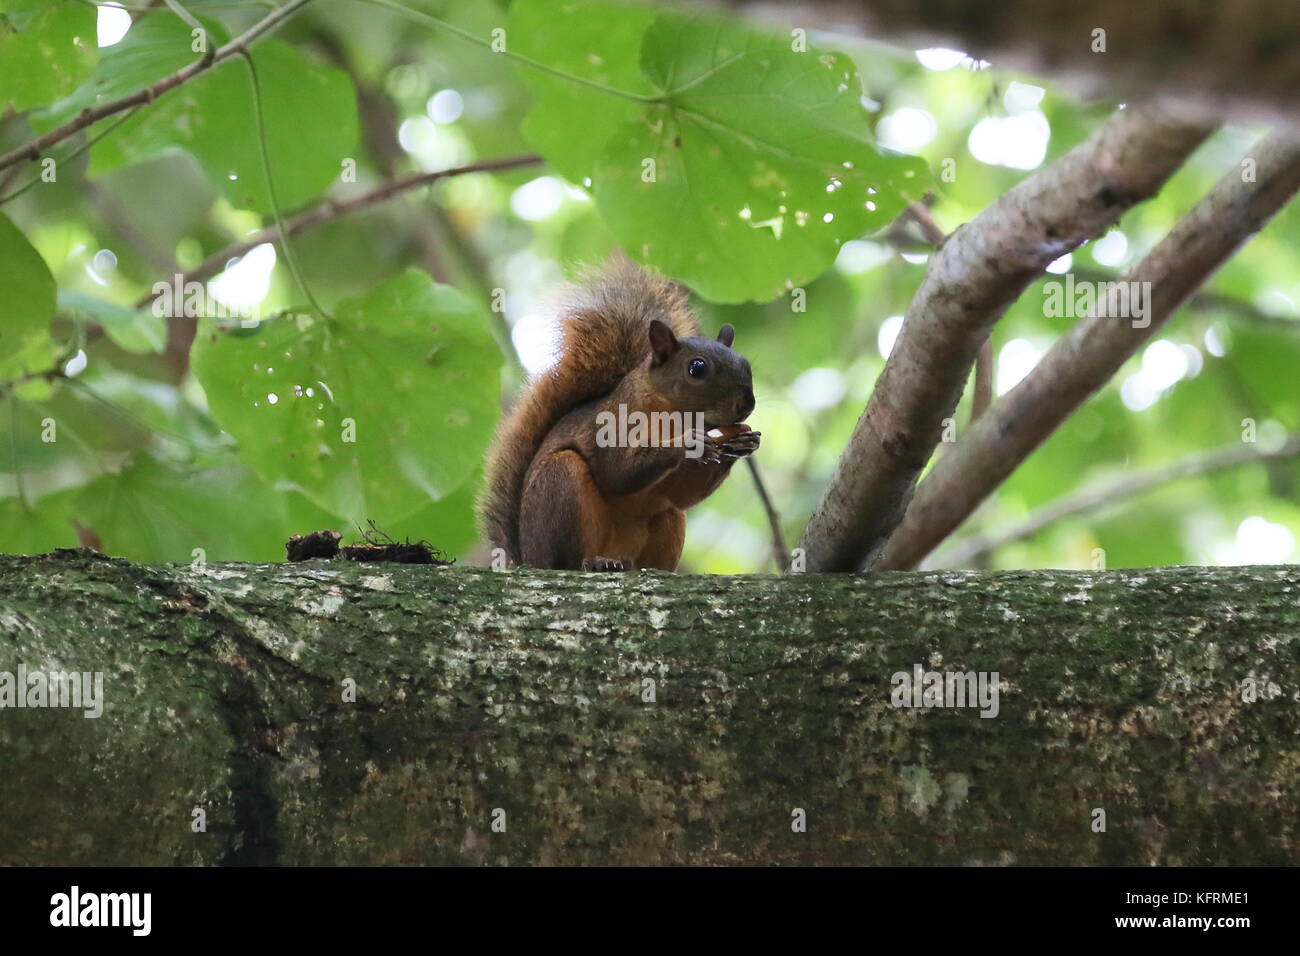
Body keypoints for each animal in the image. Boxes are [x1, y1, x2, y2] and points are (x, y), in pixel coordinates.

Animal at [478, 255, 760, 571]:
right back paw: (595, 562)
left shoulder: (674, 488)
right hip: (560, 482)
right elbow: (616, 470)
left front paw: (742, 443)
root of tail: (529, 558)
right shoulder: (610, 424)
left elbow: (681, 494)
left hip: (667, 523)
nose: (746, 404)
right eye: (697, 368)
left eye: (745, 364)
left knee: (669, 515)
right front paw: (690, 443)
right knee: (567, 559)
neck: (672, 418)